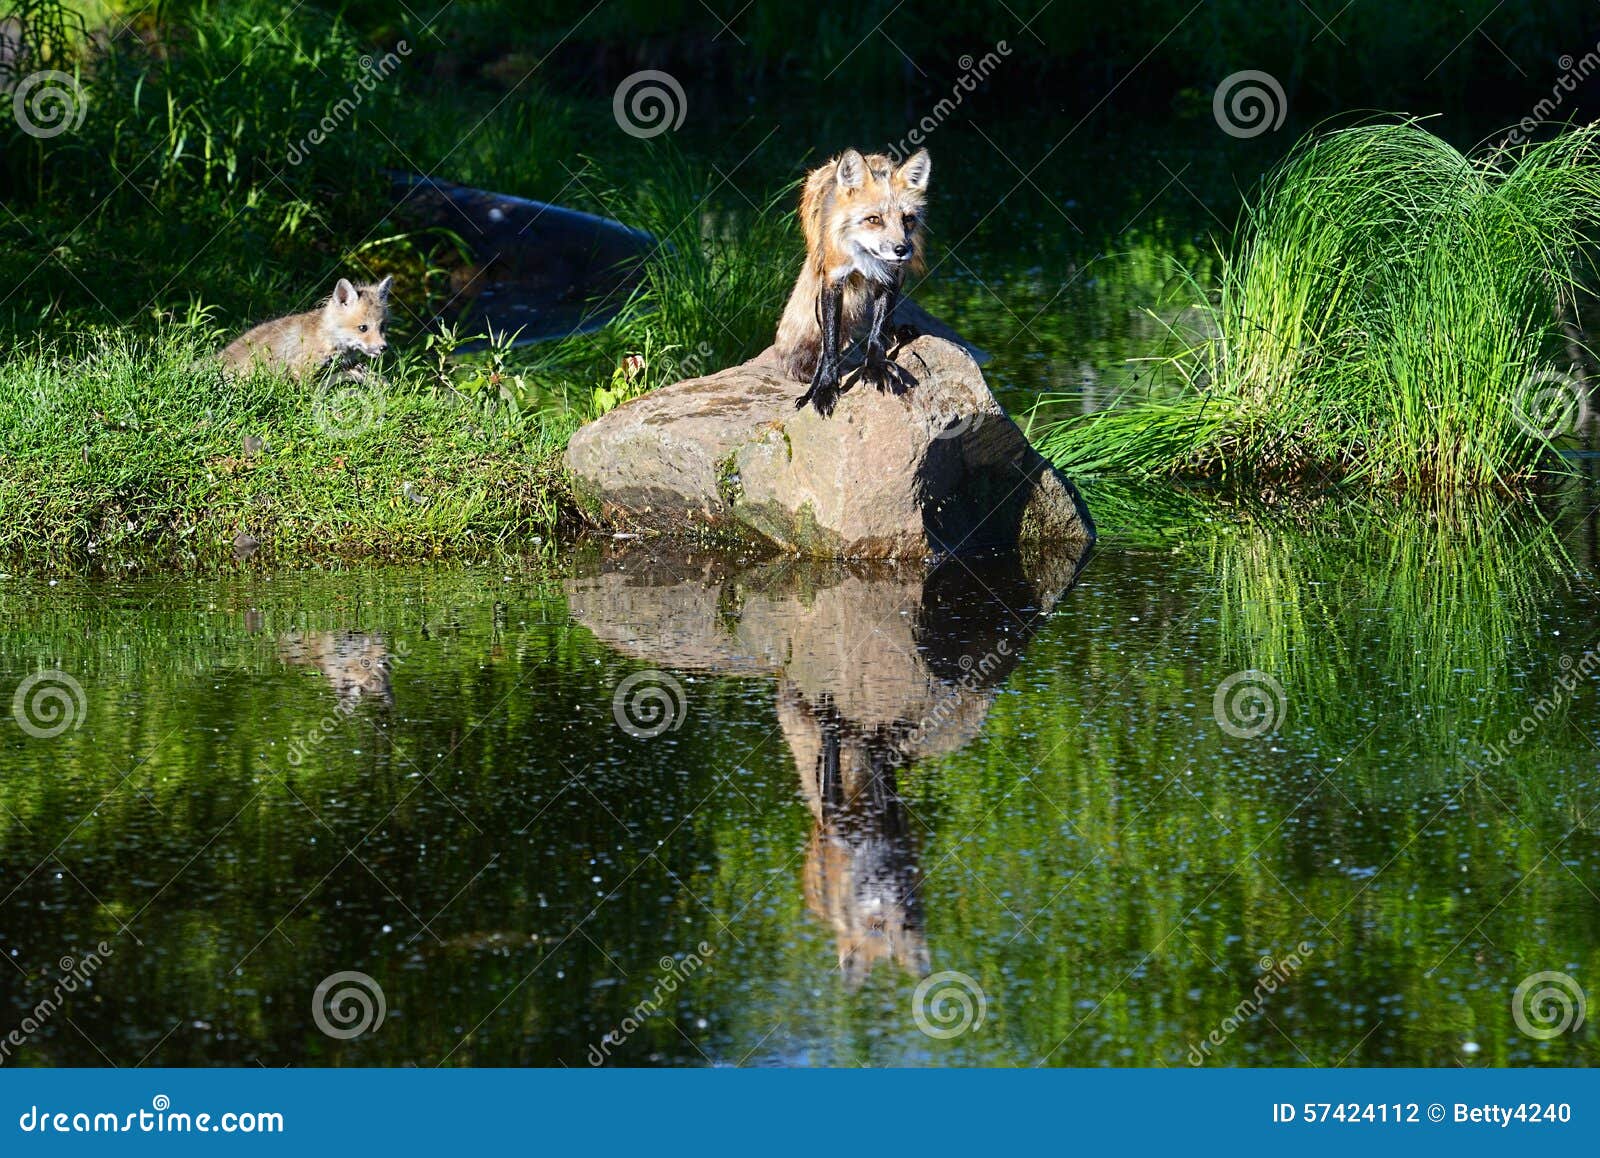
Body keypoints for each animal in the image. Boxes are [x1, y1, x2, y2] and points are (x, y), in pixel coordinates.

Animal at [775, 147, 930, 417]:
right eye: (874, 219)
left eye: (907, 219)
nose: (902, 250)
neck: (863, 255)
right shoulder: (832, 280)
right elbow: (830, 344)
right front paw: (824, 388)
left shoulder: (889, 274)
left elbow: (877, 330)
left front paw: (875, 365)